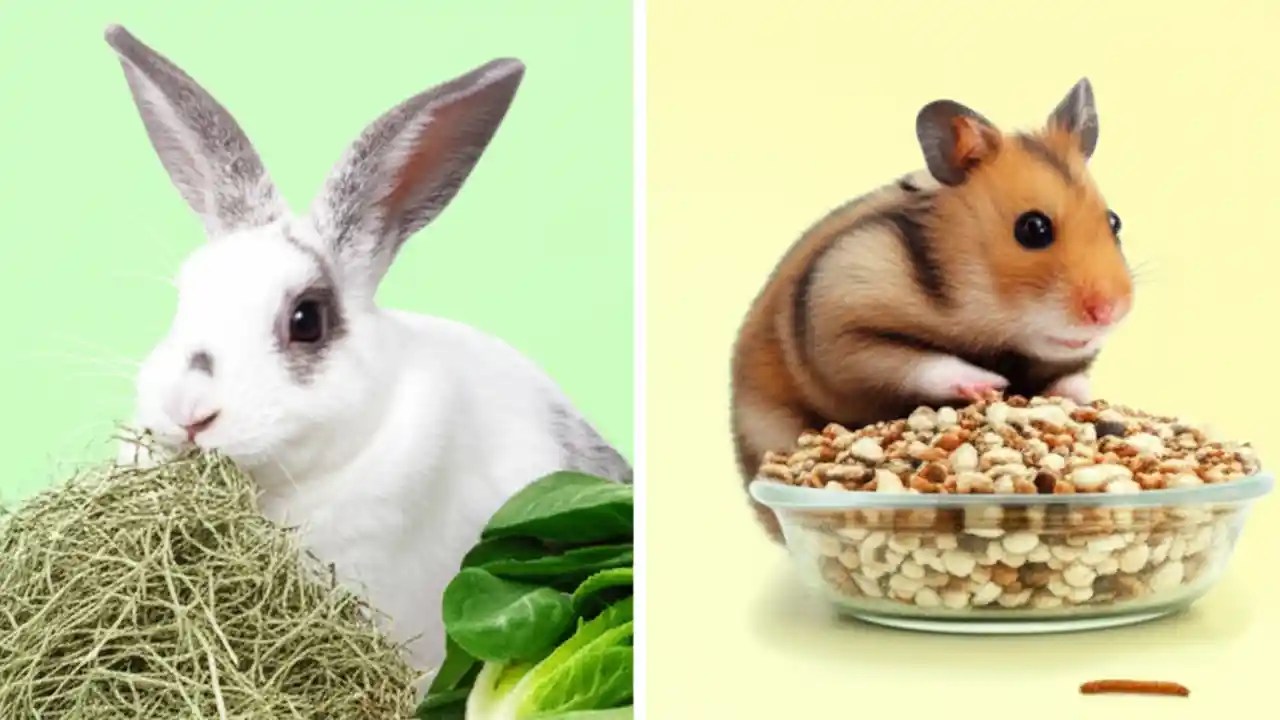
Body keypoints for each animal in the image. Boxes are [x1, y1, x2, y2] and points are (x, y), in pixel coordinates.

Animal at [730, 78, 1133, 541]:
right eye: (1033, 229)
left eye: (1115, 222)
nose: (1110, 312)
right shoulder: (840, 326)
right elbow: (918, 361)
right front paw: (992, 385)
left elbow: (1072, 377)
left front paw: (1073, 398)